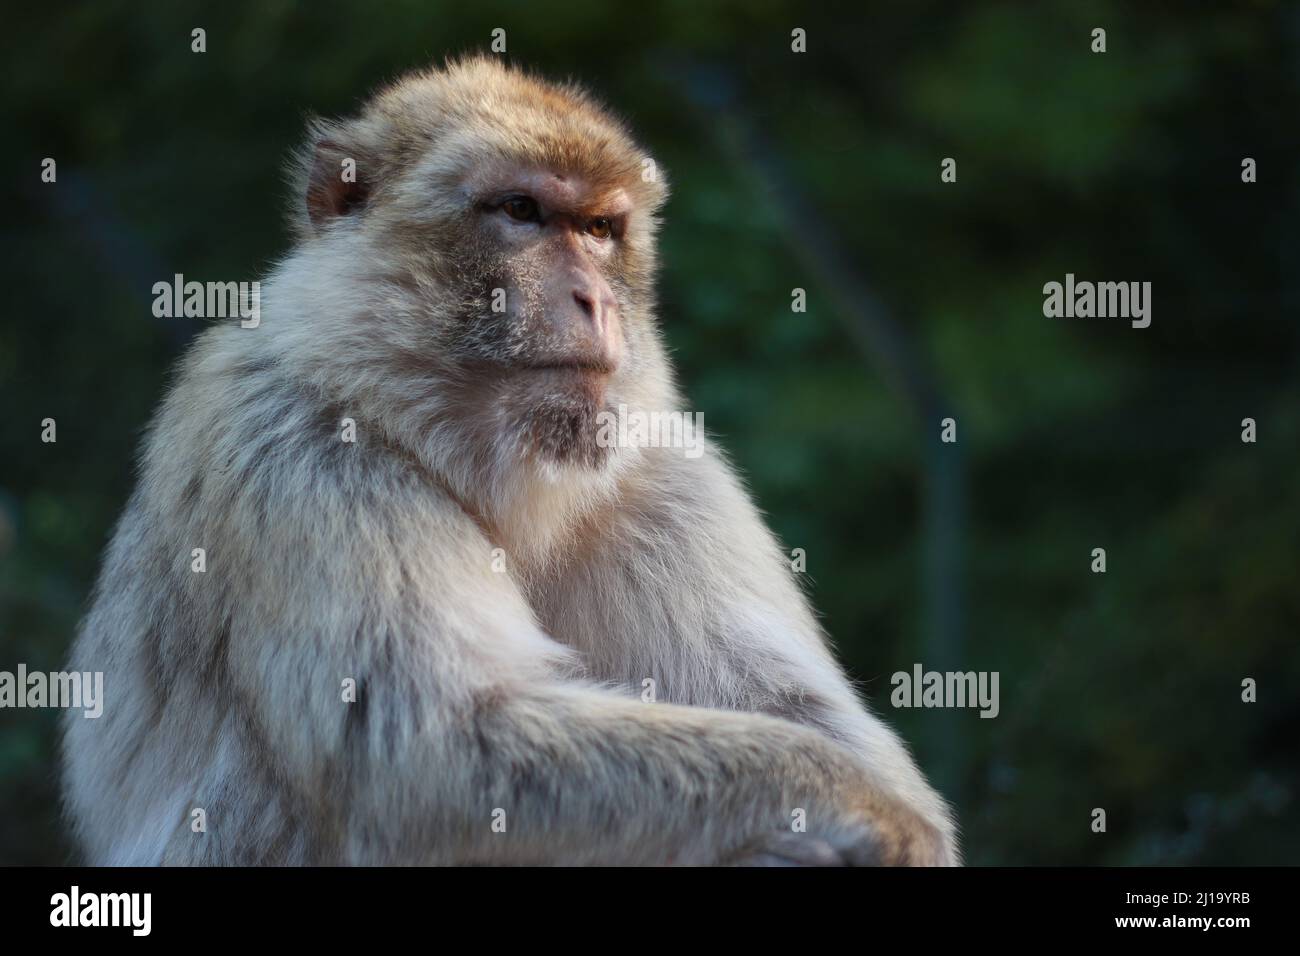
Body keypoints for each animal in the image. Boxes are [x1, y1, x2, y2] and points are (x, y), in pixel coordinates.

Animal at [60, 56, 958, 866]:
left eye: (599, 230)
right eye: (521, 211)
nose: (593, 301)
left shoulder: (666, 478)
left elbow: (800, 709)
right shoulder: (289, 444)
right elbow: (437, 747)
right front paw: (864, 808)